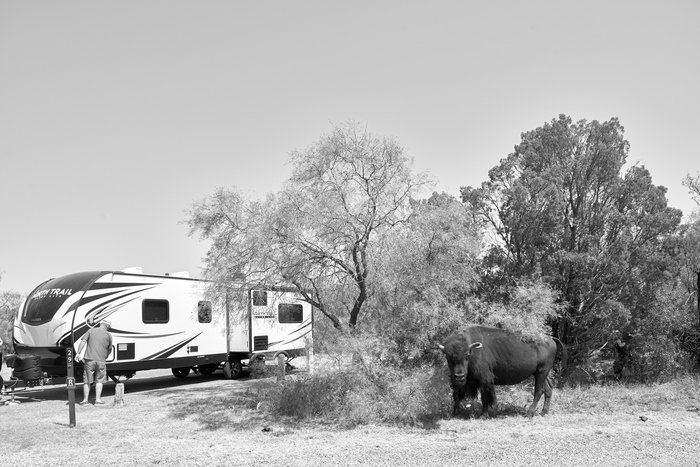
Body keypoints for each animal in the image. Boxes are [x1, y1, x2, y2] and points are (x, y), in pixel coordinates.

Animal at [438, 326, 567, 418]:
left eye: (466, 356)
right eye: (448, 357)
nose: (459, 375)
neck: (472, 349)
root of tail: (550, 338)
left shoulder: (485, 380)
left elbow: (485, 398)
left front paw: (484, 415)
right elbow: (456, 395)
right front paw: (454, 413)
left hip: (541, 372)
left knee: (538, 391)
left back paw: (529, 414)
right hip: (542, 373)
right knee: (548, 390)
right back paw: (543, 412)